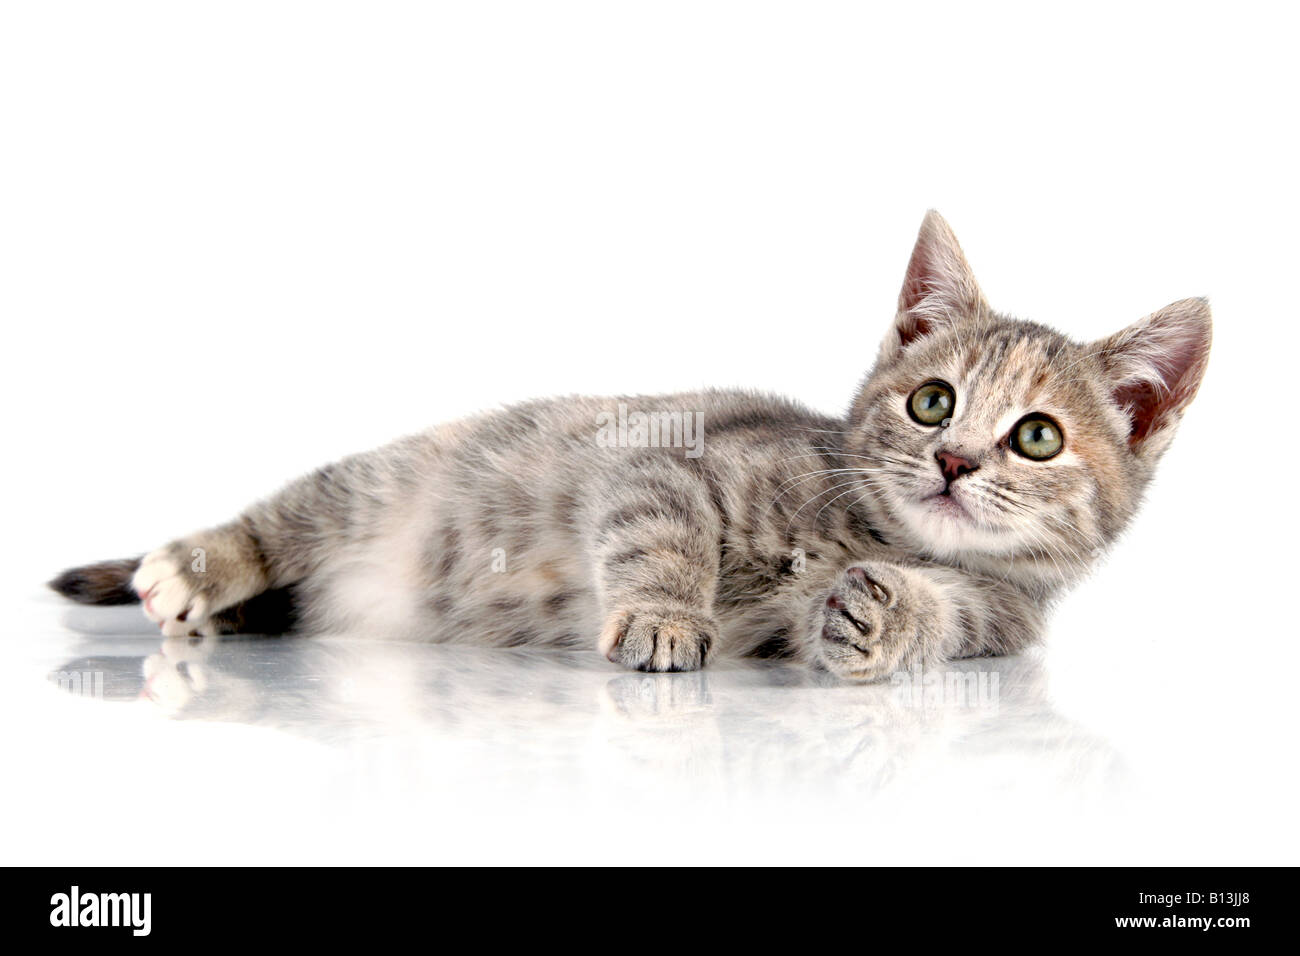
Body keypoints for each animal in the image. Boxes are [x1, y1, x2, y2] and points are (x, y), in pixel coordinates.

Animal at [48, 213, 1206, 686]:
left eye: (1036, 436)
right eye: (932, 401)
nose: (955, 461)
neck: (867, 529)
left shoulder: (998, 623)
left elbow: (935, 622)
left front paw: (883, 616)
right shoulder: (664, 458)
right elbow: (661, 532)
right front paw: (662, 615)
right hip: (377, 483)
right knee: (278, 517)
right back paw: (194, 570)